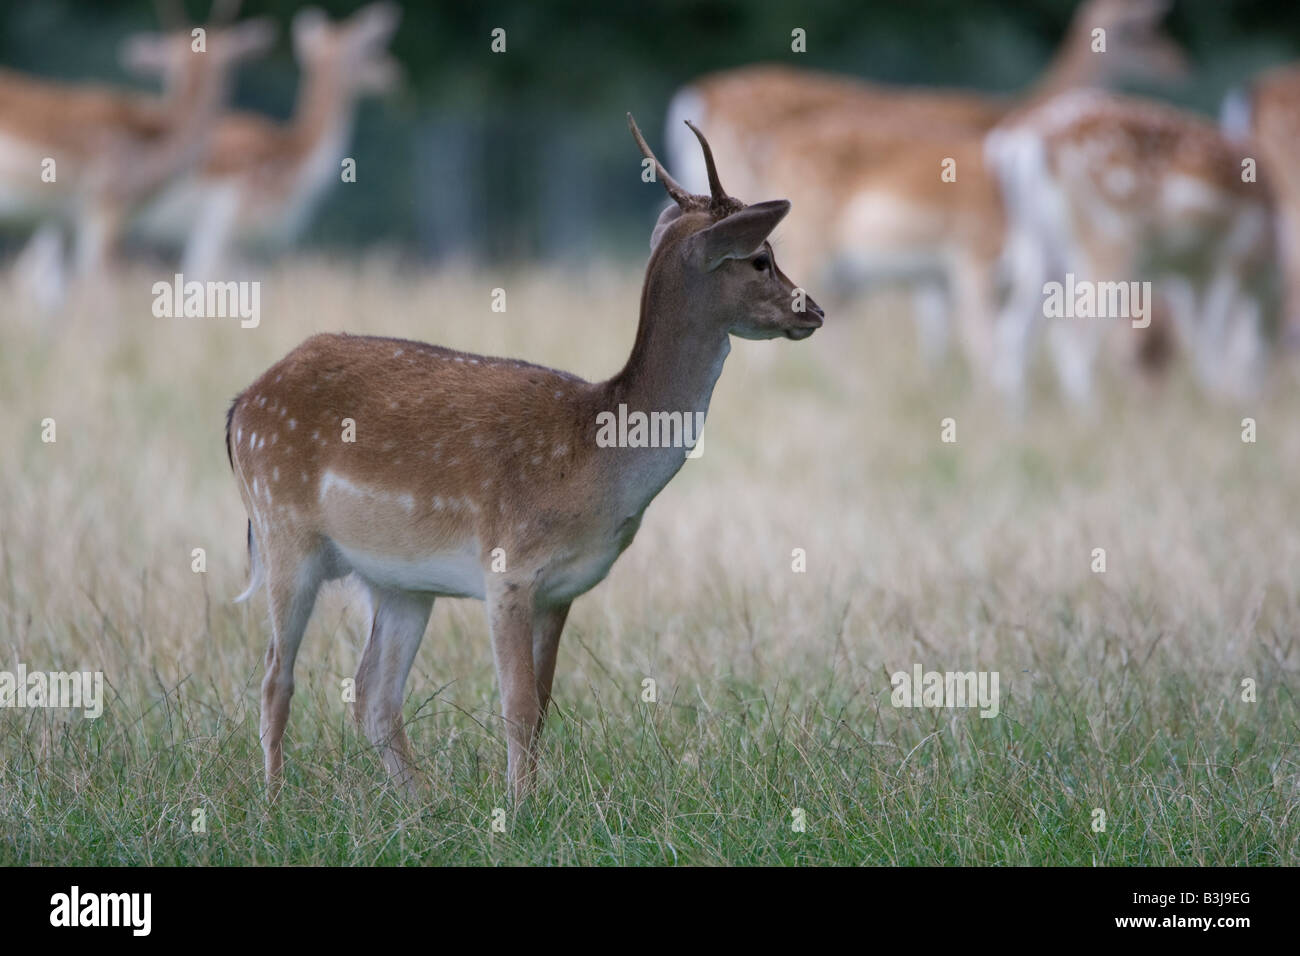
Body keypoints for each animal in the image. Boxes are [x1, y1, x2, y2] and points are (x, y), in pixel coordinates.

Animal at [225, 115, 824, 800]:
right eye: (761, 257)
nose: (814, 309)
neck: (595, 462)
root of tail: (240, 407)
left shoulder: (561, 590)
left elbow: (540, 707)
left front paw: (534, 798)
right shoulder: (507, 568)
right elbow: (514, 704)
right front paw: (518, 806)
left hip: (399, 580)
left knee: (373, 695)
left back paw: (423, 804)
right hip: (282, 530)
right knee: (276, 677)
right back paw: (274, 801)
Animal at [985, 89, 1279, 408]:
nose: (1264, 397)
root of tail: (1020, 139)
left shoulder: (1193, 274)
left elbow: (1200, 335)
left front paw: (1208, 398)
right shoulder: (1234, 257)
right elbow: (1216, 335)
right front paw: (1220, 401)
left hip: (1040, 252)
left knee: (1015, 330)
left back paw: (1016, 411)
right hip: (1108, 239)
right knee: (1072, 337)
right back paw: (1090, 412)